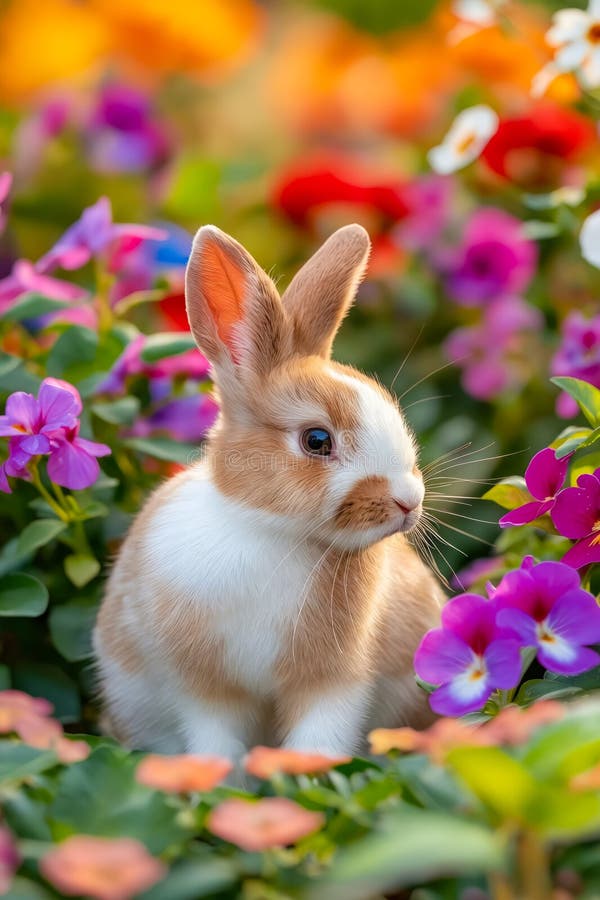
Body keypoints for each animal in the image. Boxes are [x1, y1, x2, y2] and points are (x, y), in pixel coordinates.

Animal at [93, 223, 444, 760]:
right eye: (316, 440)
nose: (409, 502)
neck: (268, 530)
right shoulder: (206, 689)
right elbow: (215, 743)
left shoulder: (332, 681)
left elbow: (319, 741)